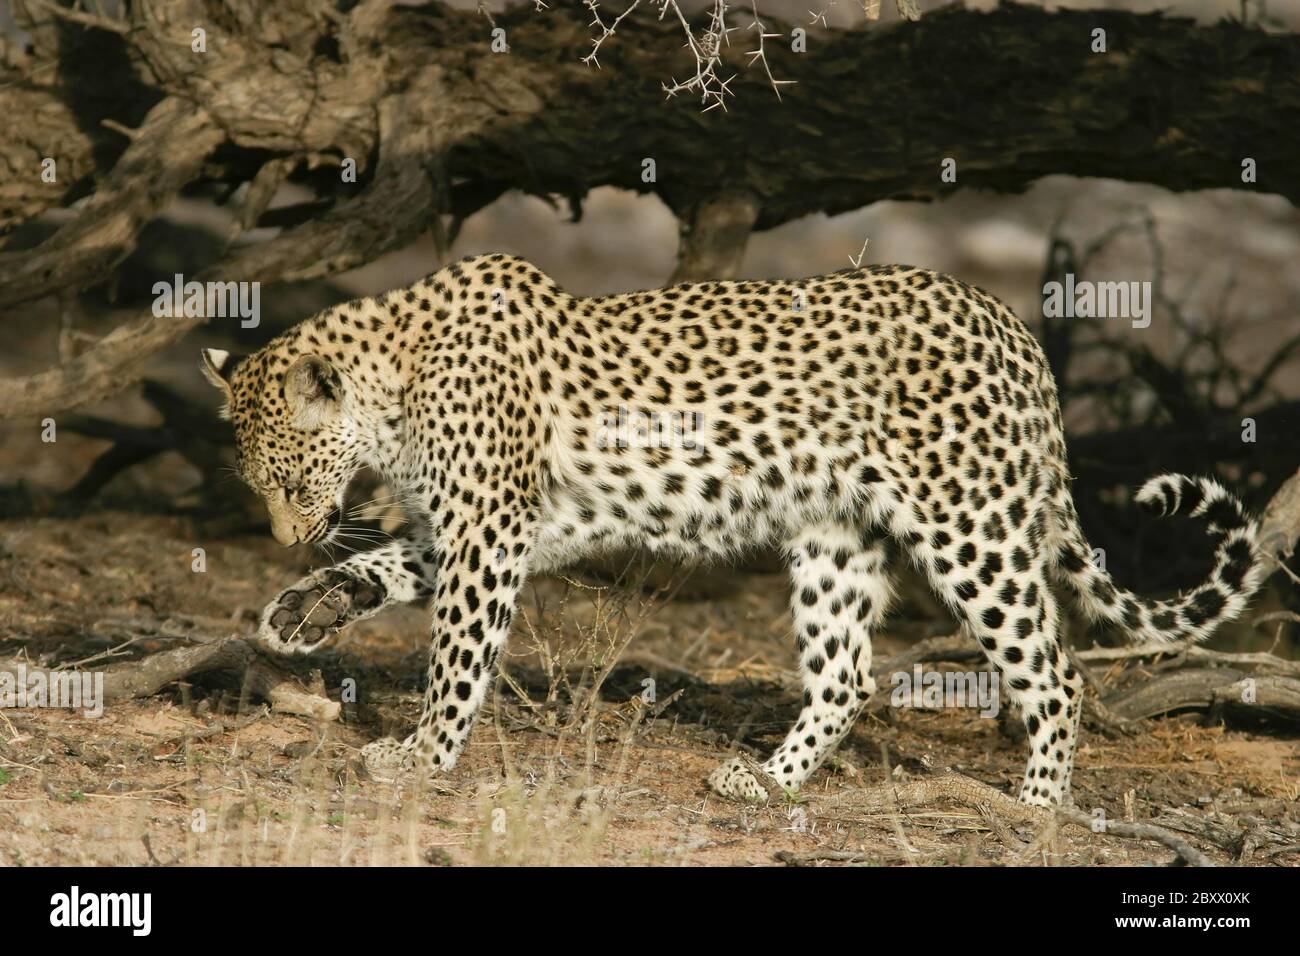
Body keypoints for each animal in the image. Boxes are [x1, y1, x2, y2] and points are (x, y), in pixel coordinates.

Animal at [201, 253, 1266, 807]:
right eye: (257, 482)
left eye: (289, 476)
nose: (285, 536)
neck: (398, 379)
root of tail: (1017, 331)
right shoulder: (511, 524)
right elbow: (389, 564)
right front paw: (303, 609)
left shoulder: (492, 530)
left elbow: (456, 656)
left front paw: (423, 757)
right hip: (837, 535)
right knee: (848, 674)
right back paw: (768, 781)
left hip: (971, 525)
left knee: (1054, 671)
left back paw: (1037, 809)